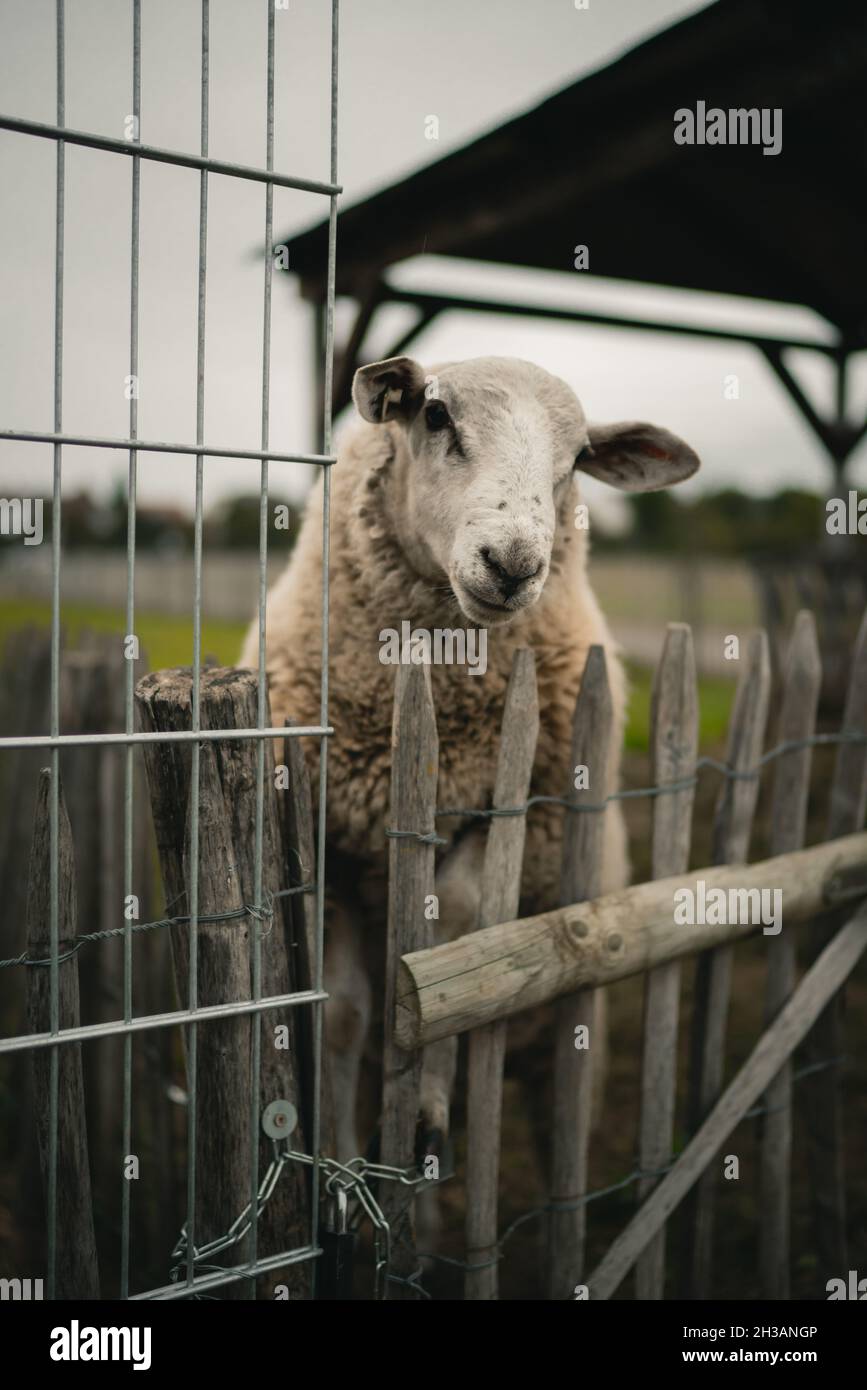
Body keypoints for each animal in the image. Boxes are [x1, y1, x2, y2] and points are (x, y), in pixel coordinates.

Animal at [240, 354, 700, 1165]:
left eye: (579, 456)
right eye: (434, 415)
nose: (512, 565)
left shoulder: (523, 811)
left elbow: (453, 944)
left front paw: (426, 1105)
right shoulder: (329, 842)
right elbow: (343, 1015)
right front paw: (342, 1160)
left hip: (567, 1034)